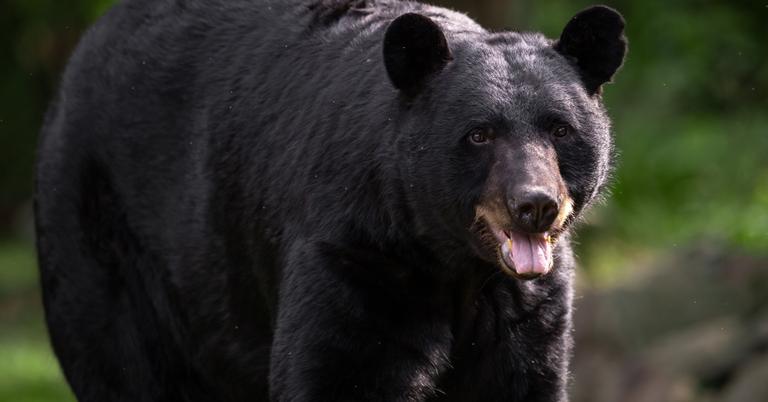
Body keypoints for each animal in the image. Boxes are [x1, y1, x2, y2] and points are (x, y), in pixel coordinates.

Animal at [34, 0, 627, 401]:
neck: (452, 261)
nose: (535, 204)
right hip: (105, 249)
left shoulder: (525, 304)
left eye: (560, 129)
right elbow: (341, 368)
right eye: (479, 134)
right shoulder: (356, 251)